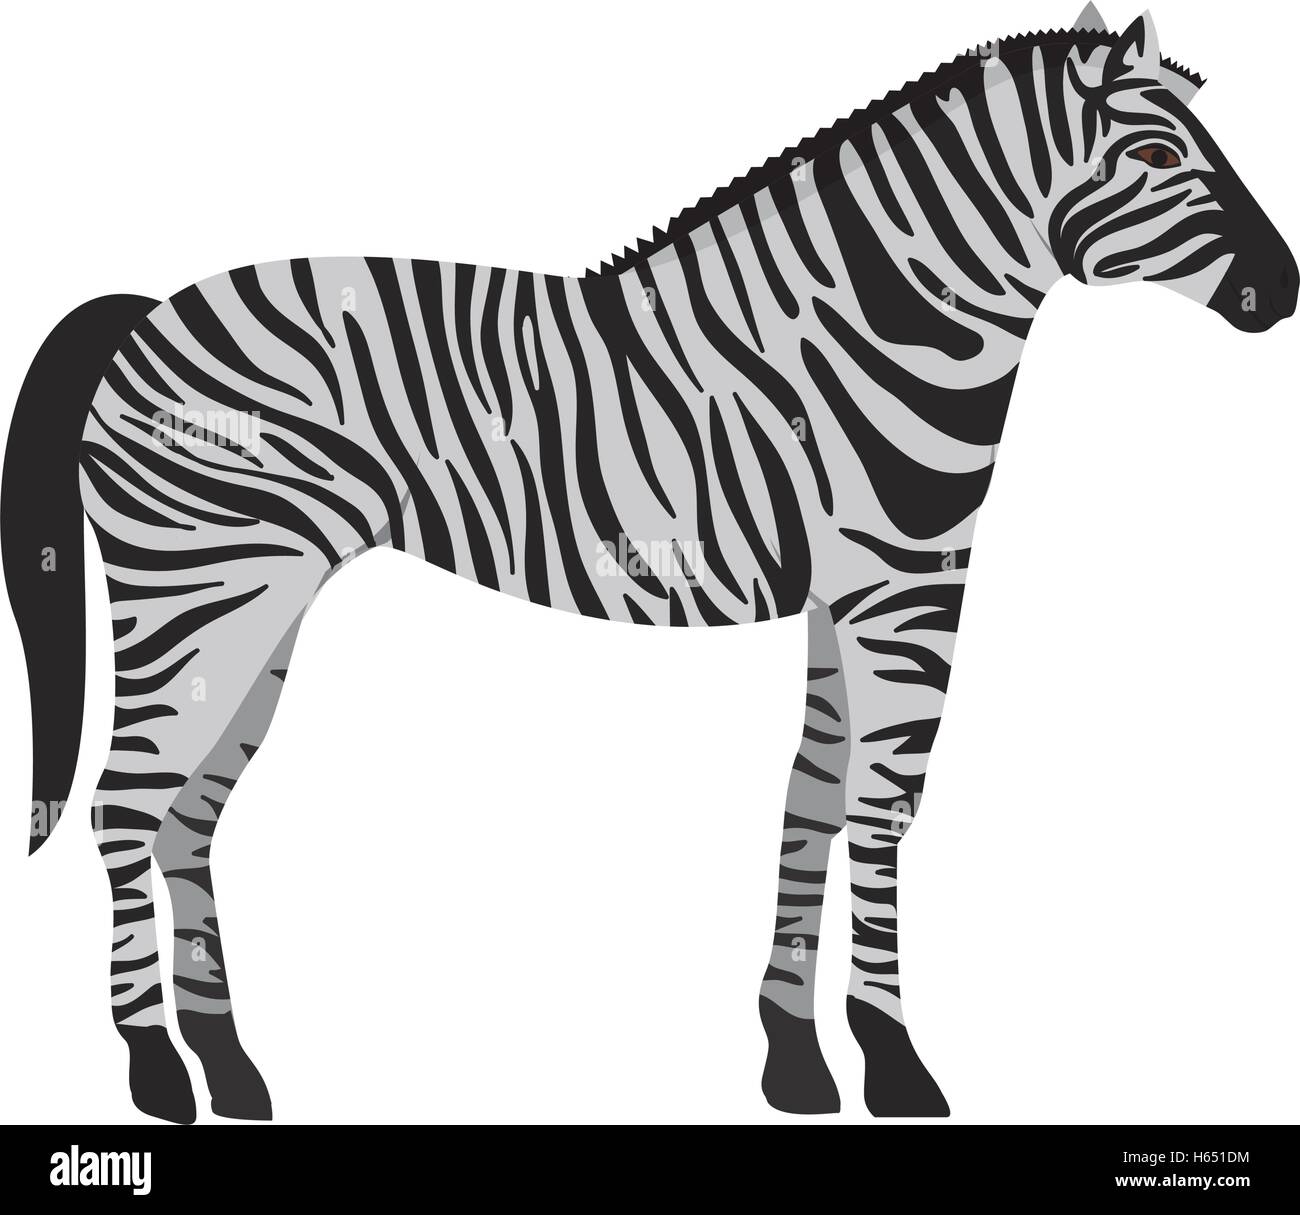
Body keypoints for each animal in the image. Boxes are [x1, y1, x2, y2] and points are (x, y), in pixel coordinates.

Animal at [2, 8, 1293, 1123]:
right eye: (1155, 146)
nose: (1281, 292)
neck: (880, 325)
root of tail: (146, 311)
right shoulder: (905, 584)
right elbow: (883, 808)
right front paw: (894, 1065)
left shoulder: (842, 596)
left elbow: (808, 794)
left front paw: (792, 1060)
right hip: (196, 589)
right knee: (125, 808)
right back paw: (155, 1072)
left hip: (258, 610)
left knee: (187, 819)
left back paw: (232, 1070)